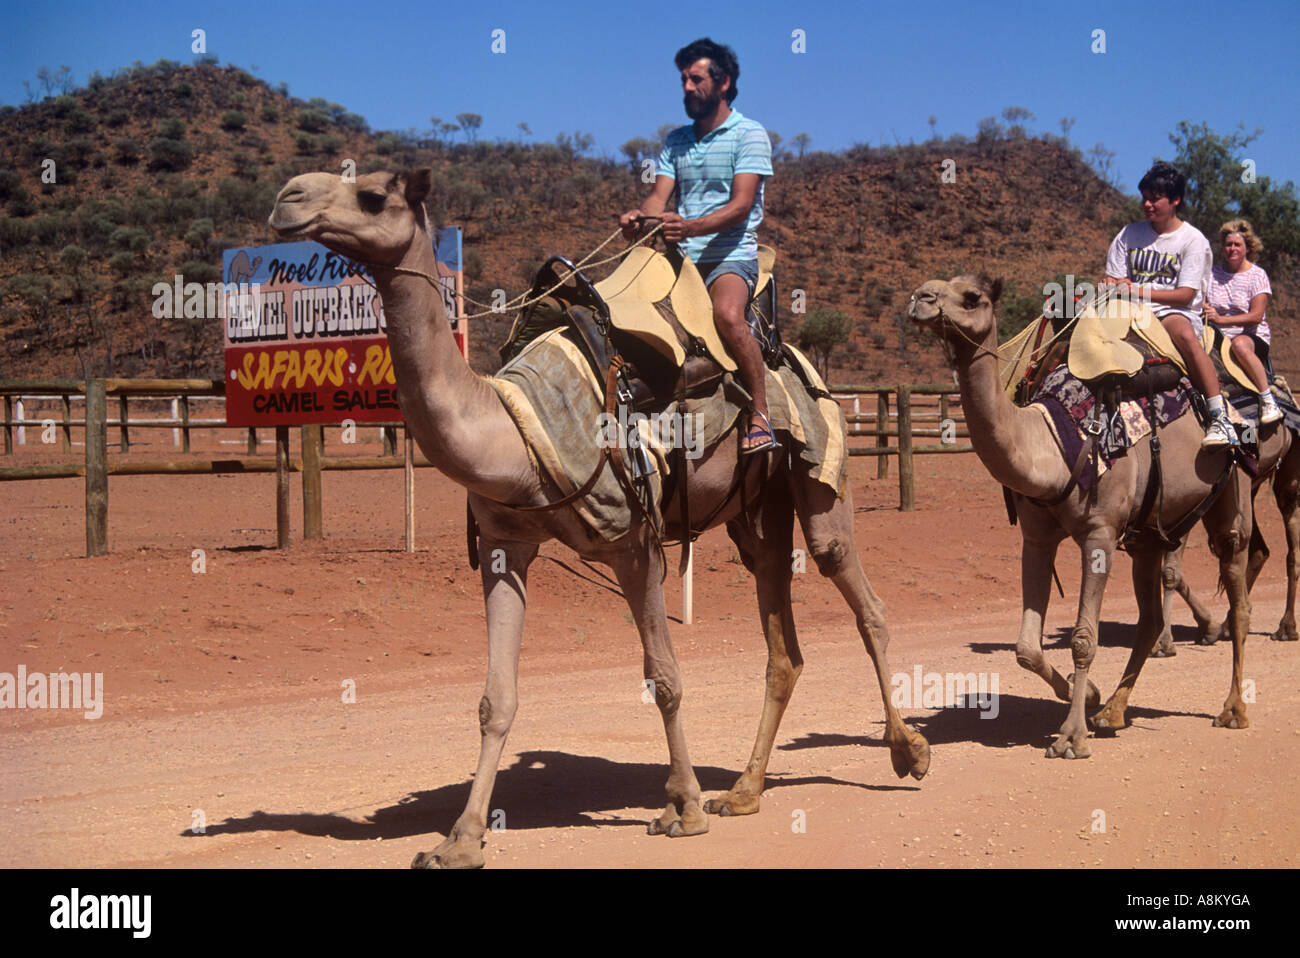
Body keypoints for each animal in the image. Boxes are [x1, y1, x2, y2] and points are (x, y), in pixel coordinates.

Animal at [267, 168, 930, 868]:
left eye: (374, 195)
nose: (288, 199)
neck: (513, 431)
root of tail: (791, 353)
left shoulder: (633, 542)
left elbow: (664, 677)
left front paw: (683, 809)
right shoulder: (506, 543)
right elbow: (496, 698)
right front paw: (459, 840)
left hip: (820, 460)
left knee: (859, 594)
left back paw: (907, 751)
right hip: (758, 511)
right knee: (782, 641)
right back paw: (745, 790)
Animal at [907, 274, 1281, 758]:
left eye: (972, 298)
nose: (920, 299)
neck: (1050, 443)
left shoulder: (1099, 534)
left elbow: (1084, 638)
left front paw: (1070, 736)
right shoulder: (1037, 536)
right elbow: (1026, 647)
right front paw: (1088, 697)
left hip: (1230, 495)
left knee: (1239, 599)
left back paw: (1233, 709)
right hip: (1147, 536)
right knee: (1151, 617)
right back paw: (1113, 711)